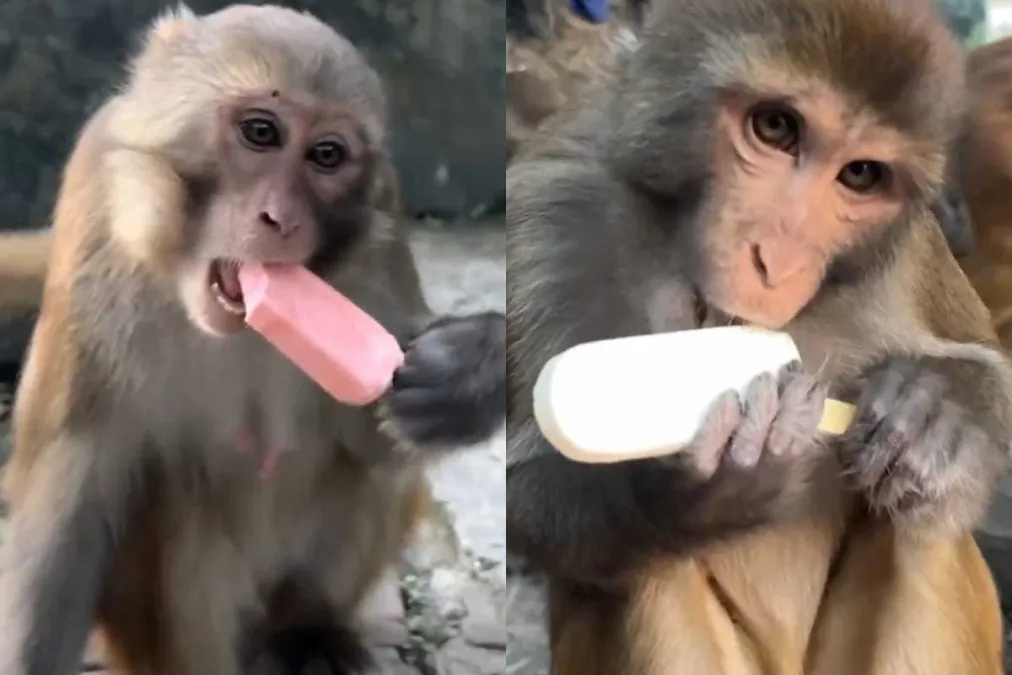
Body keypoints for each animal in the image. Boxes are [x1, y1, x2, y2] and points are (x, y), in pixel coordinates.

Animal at [0, 4, 505, 675]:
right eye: (261, 133)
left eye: (326, 155)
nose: (281, 218)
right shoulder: (95, 210)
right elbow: (69, 494)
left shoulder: (379, 228)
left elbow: (373, 438)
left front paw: (466, 374)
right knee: (179, 497)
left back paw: (307, 631)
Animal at [506, 0, 1011, 673]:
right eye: (775, 128)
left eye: (861, 174)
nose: (775, 263)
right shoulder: (550, 205)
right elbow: (523, 493)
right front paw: (709, 486)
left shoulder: (911, 246)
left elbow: (988, 362)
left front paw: (938, 412)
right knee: (644, 573)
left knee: (920, 533)